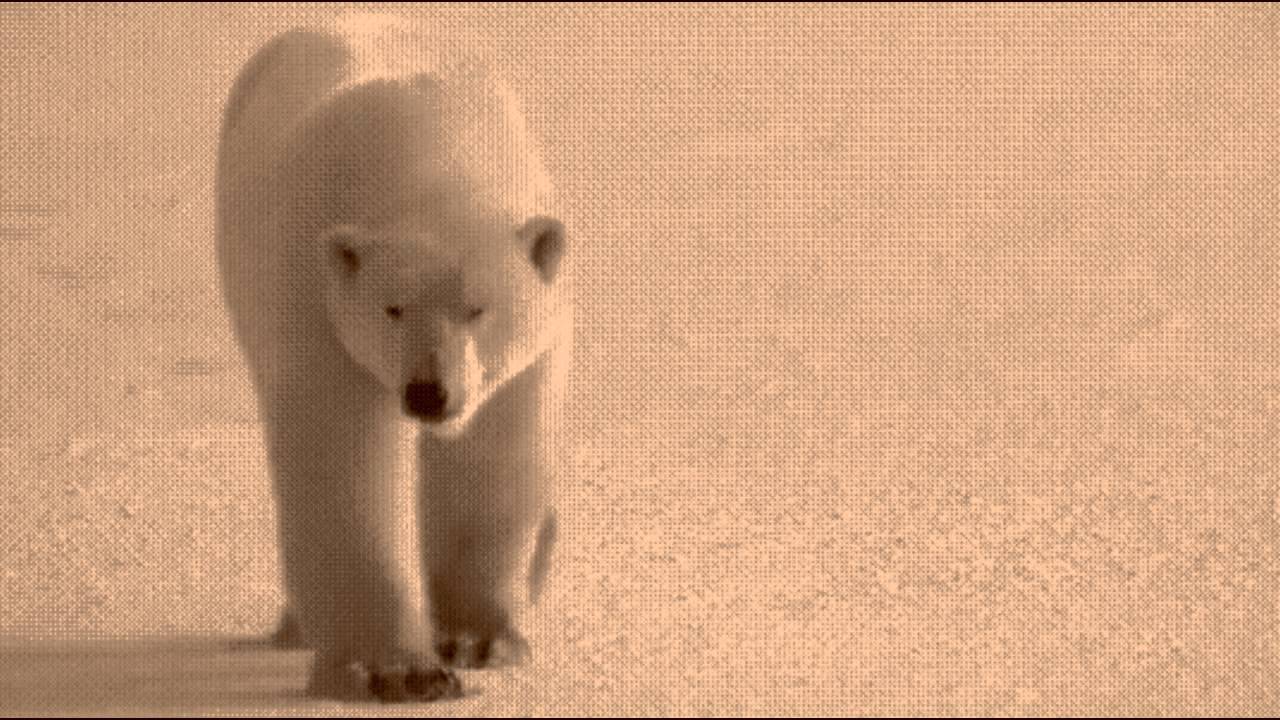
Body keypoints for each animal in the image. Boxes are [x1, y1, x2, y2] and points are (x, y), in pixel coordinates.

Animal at [214, 14, 572, 702]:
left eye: (478, 308)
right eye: (392, 308)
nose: (428, 393)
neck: (430, 145)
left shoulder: (527, 357)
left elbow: (490, 458)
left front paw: (477, 640)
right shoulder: (317, 301)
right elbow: (344, 464)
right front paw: (398, 671)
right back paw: (293, 627)